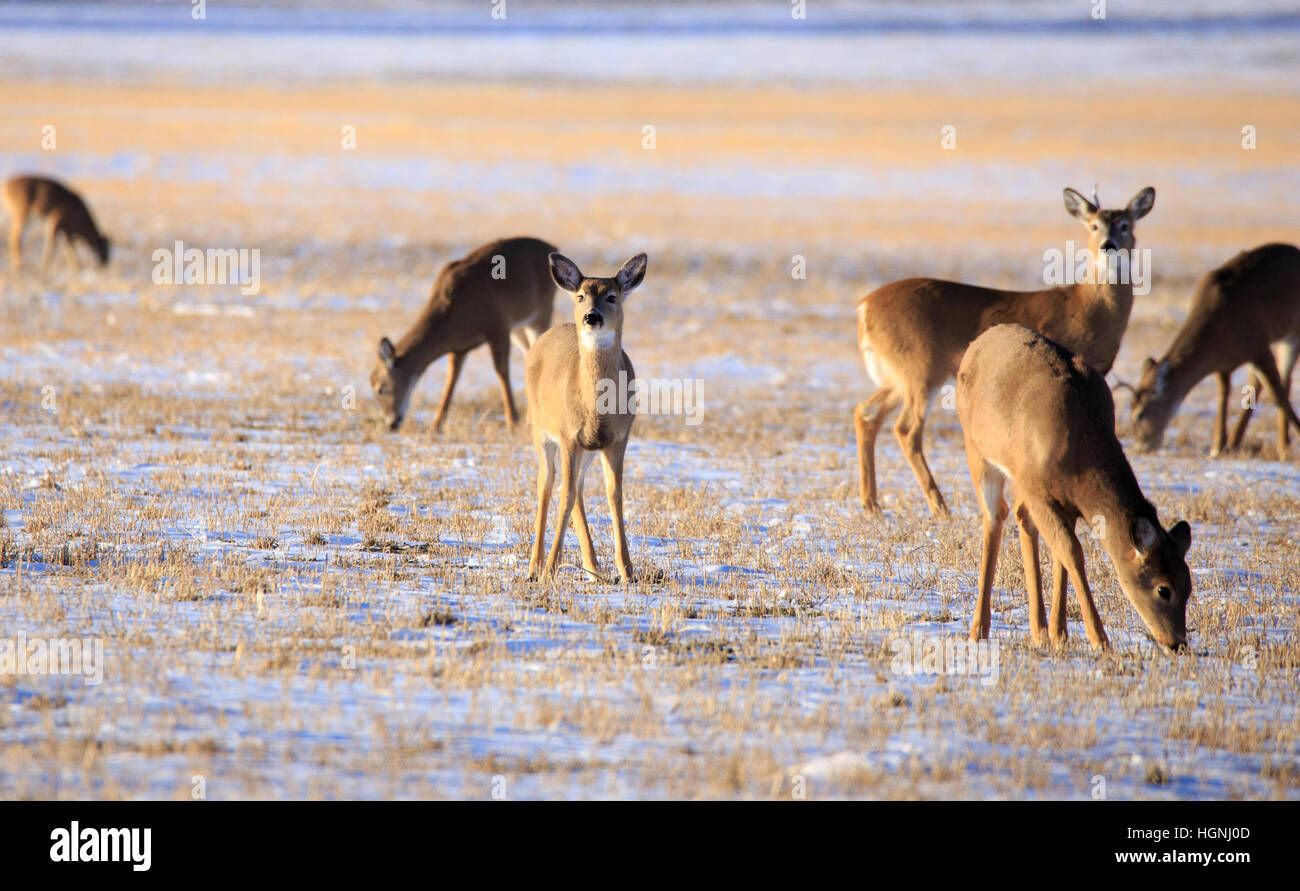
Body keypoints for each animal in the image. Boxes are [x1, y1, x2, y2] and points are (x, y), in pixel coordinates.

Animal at [370, 236, 557, 433]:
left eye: (380, 388)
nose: (391, 423)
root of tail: (552, 247)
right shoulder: (459, 348)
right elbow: (451, 378)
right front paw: (436, 424)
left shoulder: (499, 326)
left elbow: (501, 371)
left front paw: (512, 421)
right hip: (519, 329)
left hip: (541, 313)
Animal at [526, 251, 646, 584]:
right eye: (580, 296)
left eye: (611, 296)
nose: (591, 317)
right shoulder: (568, 437)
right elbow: (563, 495)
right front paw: (550, 569)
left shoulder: (617, 439)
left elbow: (614, 495)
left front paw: (627, 570)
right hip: (540, 428)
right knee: (546, 483)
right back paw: (535, 565)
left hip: (587, 449)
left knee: (577, 488)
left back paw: (593, 568)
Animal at [854, 185, 1155, 517]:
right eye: (1093, 225)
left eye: (1125, 224)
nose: (1108, 245)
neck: (1087, 309)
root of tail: (864, 308)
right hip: (921, 369)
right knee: (906, 429)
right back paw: (939, 506)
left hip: (897, 376)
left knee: (866, 413)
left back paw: (872, 503)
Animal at [956, 324, 1192, 652]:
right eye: (1163, 589)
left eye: (1189, 585)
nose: (1177, 643)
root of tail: (979, 341)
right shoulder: (1039, 491)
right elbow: (1073, 551)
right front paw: (1099, 640)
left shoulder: (1066, 502)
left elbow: (1062, 555)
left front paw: (1060, 634)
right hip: (978, 451)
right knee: (995, 516)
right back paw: (979, 629)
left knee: (1020, 516)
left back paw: (1039, 629)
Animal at [1128, 242, 1300, 459]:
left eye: (1139, 414)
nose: (1141, 447)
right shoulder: (1223, 362)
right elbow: (1223, 396)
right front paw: (1218, 446)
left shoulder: (1258, 345)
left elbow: (1278, 395)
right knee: (1259, 383)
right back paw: (1238, 441)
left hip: (1292, 334)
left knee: (1283, 381)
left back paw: (1283, 445)